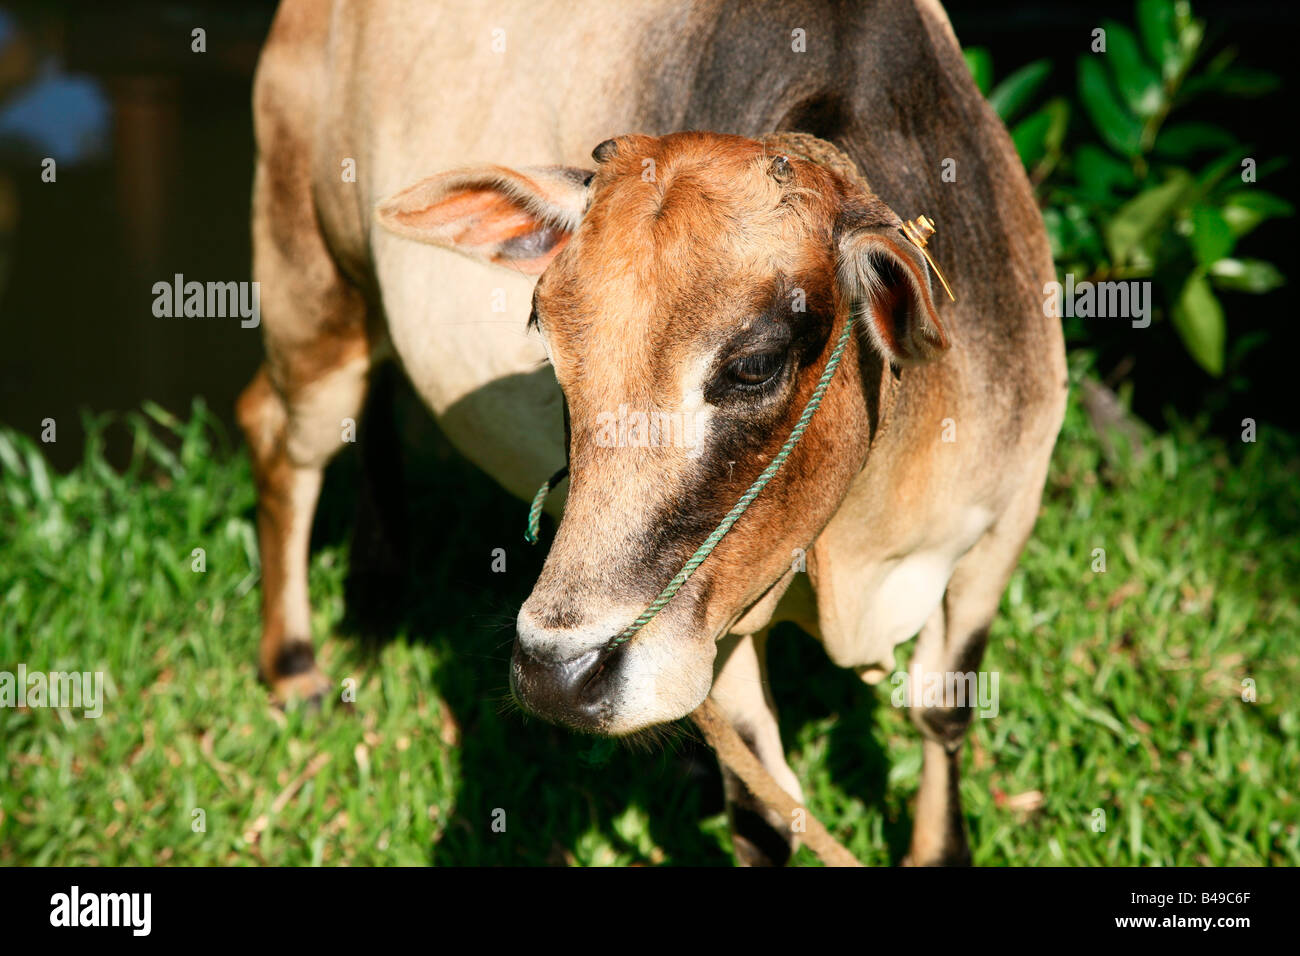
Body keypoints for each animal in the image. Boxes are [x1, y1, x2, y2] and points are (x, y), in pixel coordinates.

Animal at [237, 0, 1067, 866]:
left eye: (755, 365)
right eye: (546, 338)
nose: (555, 674)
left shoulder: (1005, 522)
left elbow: (944, 710)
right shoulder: (716, 621)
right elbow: (765, 807)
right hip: (311, 291)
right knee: (276, 432)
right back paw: (295, 666)